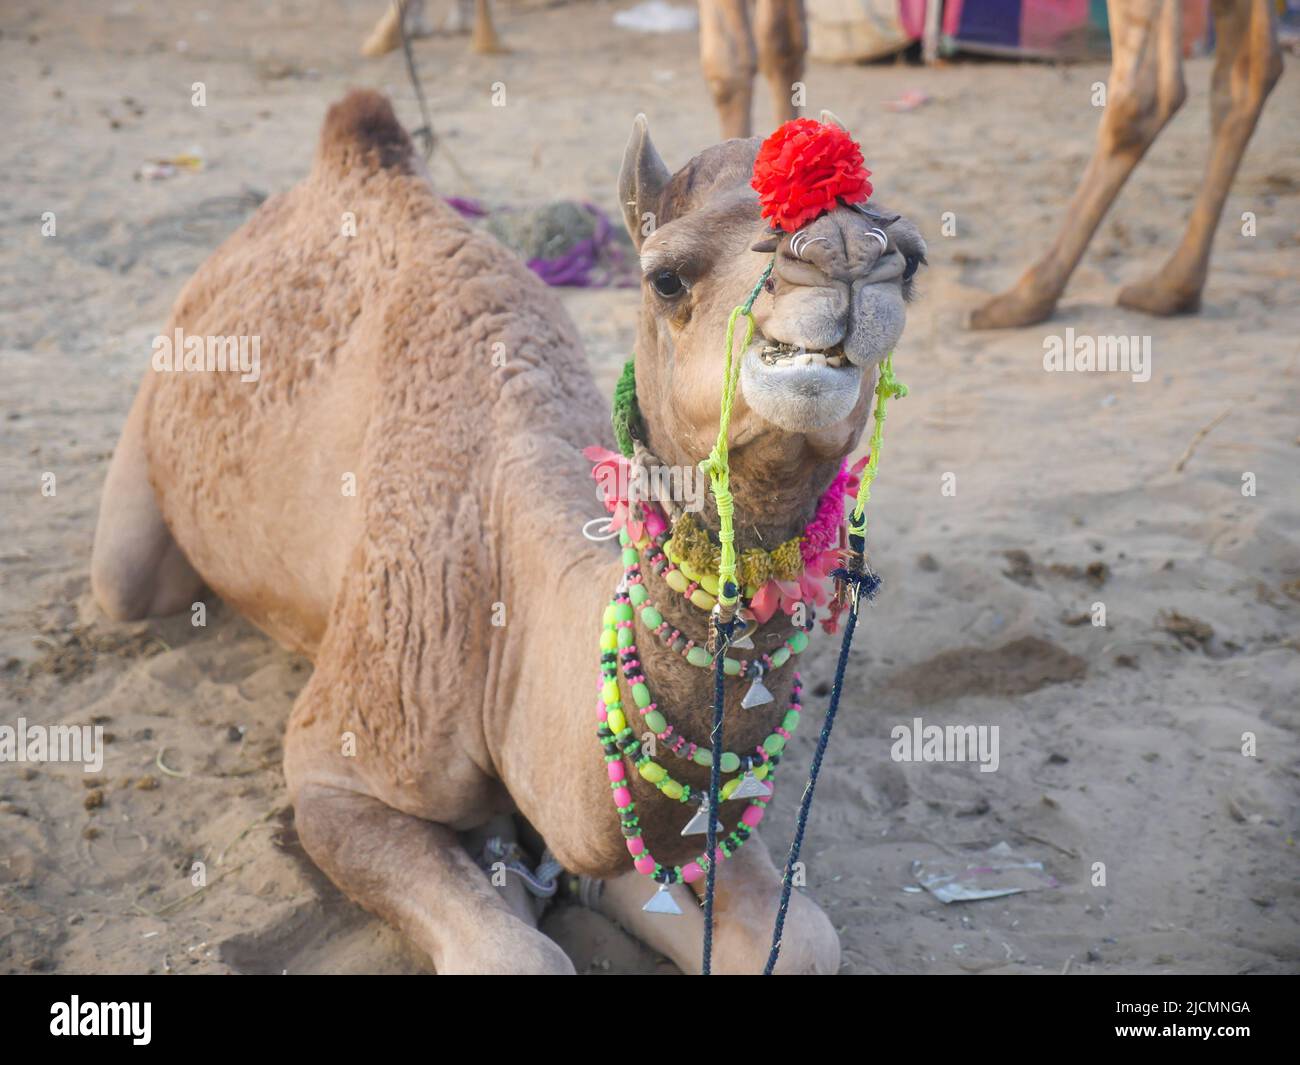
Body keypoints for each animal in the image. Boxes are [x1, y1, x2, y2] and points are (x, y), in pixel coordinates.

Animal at [89, 90, 925, 973]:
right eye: (666, 277)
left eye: (910, 260)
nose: (843, 255)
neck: (508, 600)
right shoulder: (334, 769)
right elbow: (519, 951)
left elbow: (798, 936)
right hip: (141, 480)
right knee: (126, 580)